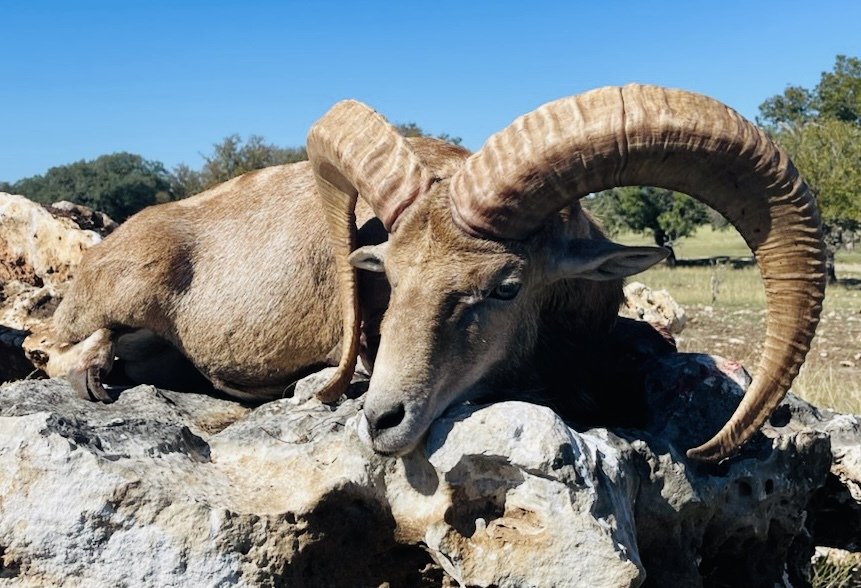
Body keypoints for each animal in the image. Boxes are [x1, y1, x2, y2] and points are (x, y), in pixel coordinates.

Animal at [24, 84, 826, 462]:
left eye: (507, 286)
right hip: (116, 294)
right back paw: (94, 372)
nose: (381, 421)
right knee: (56, 346)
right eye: (384, 275)